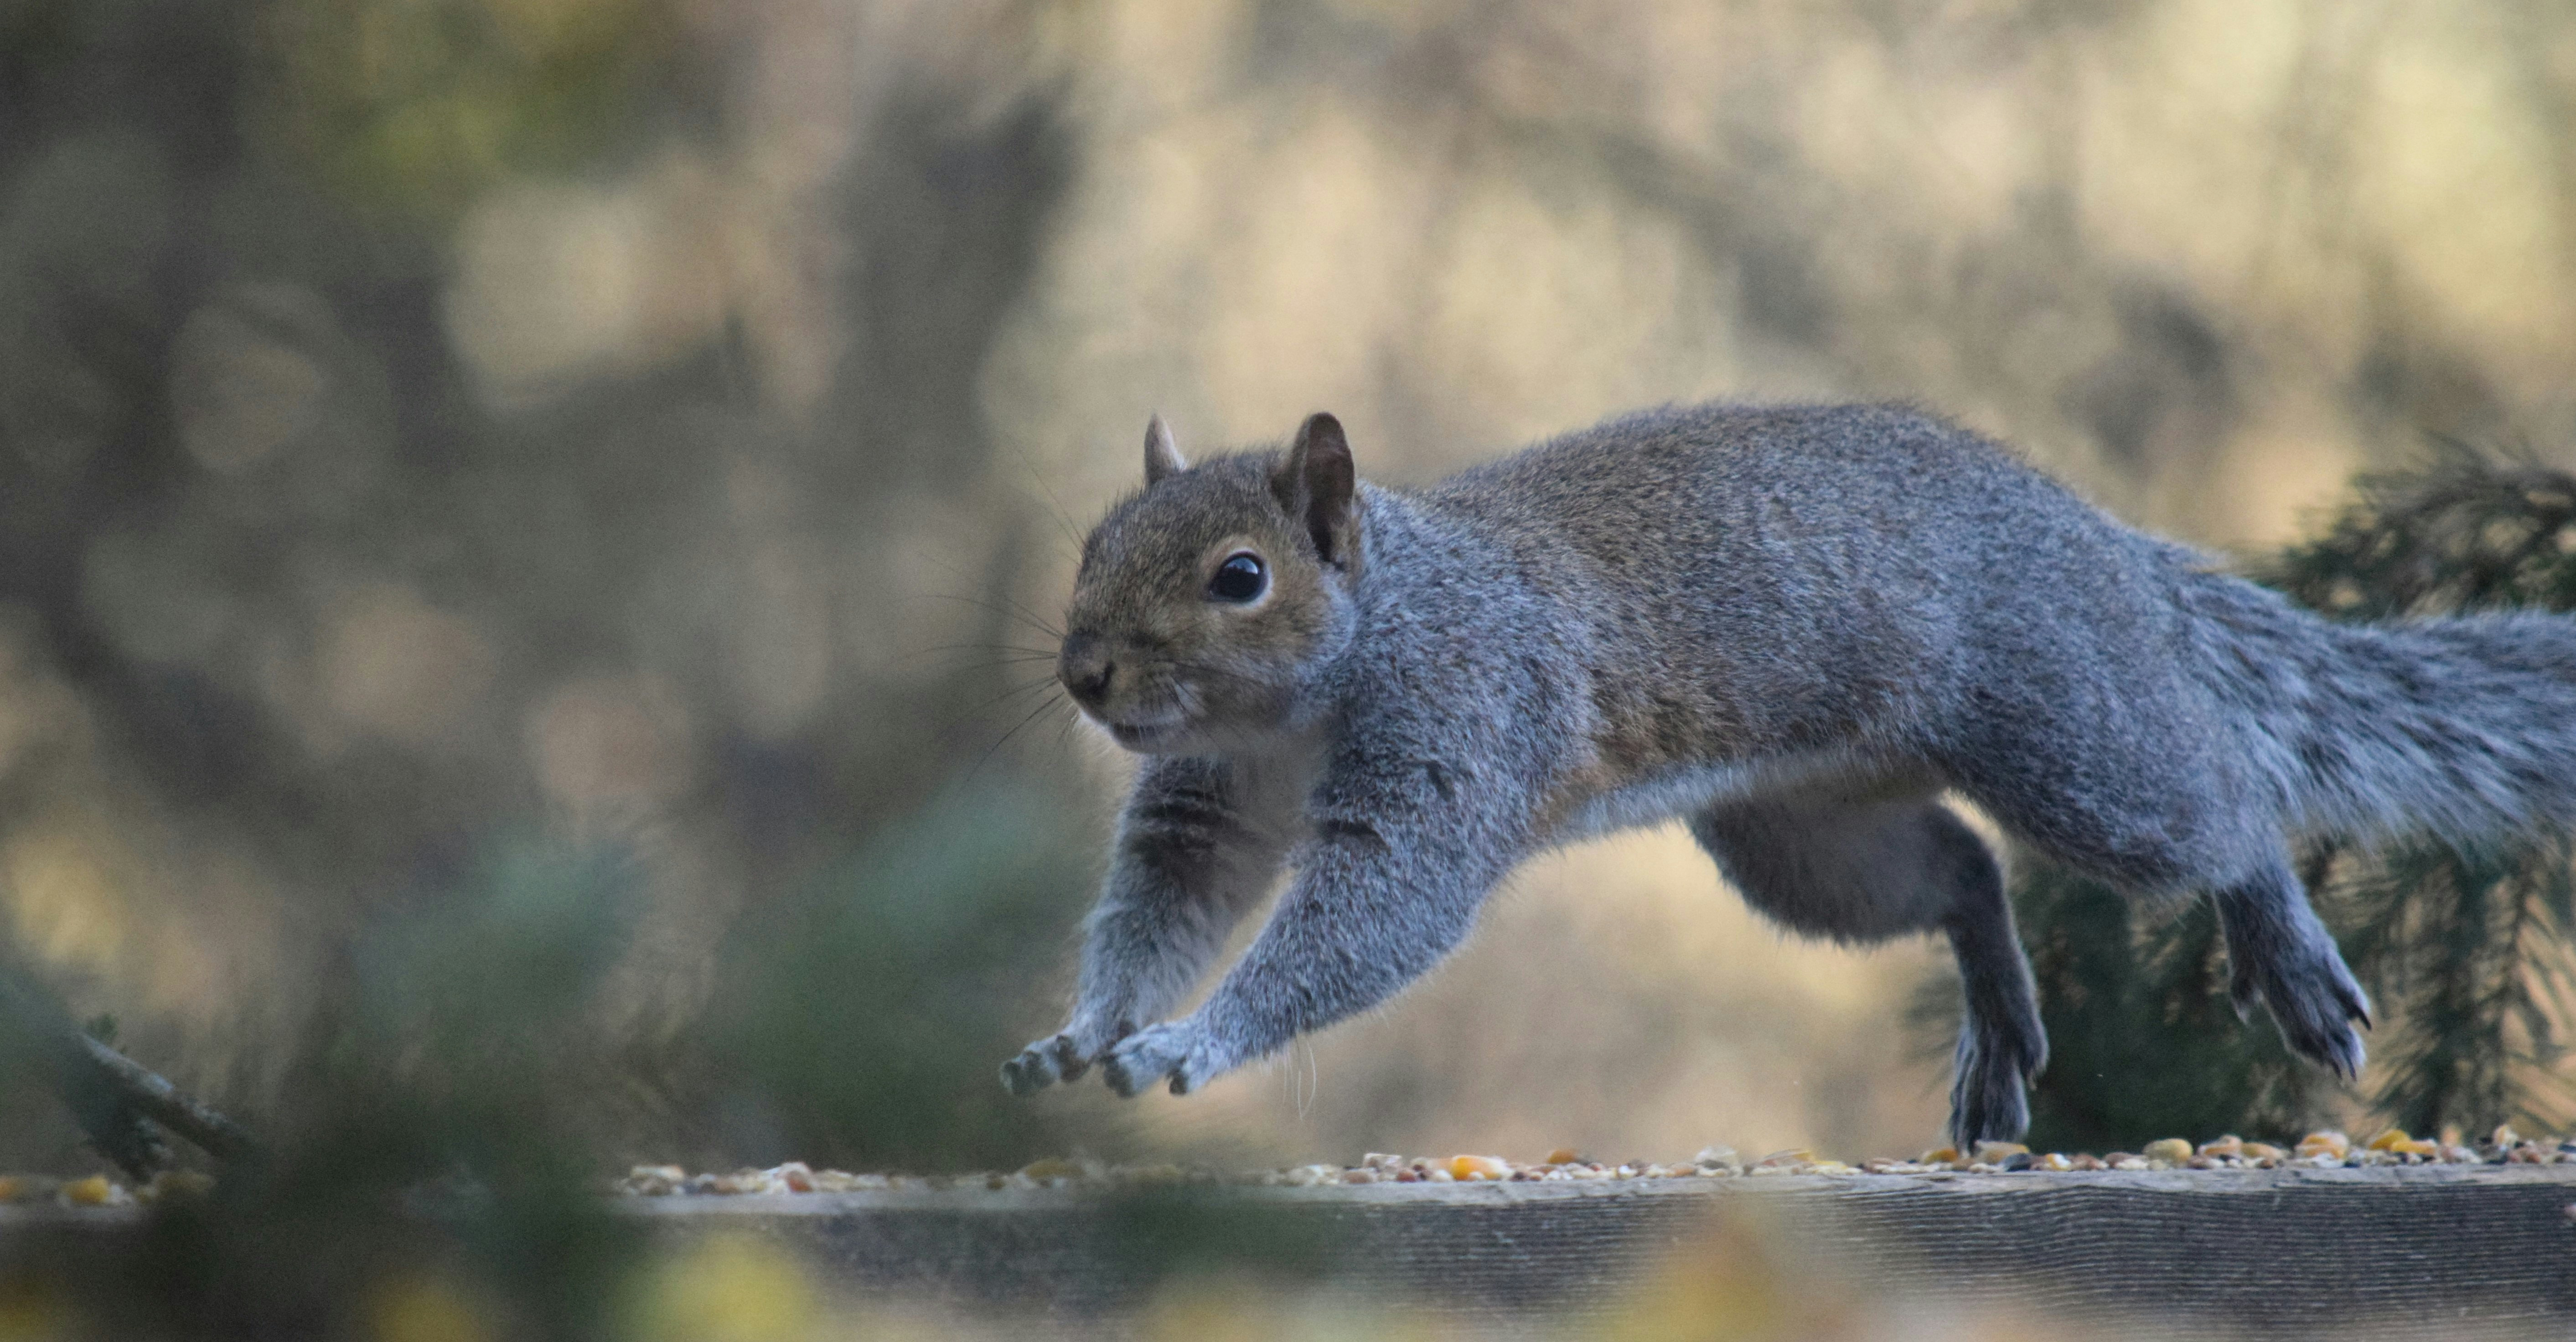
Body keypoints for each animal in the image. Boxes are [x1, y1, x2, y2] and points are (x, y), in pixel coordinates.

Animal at [1000, 402, 2576, 1146]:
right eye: (1094, 544)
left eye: (1240, 577)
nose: (1081, 676)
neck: (1301, 702)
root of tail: (2099, 542)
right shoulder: (1207, 803)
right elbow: (1166, 905)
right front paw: (1080, 1034)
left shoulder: (1456, 728)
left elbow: (1366, 921)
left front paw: (1190, 1046)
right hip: (1802, 838)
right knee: (1957, 868)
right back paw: (1995, 1026)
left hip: (2071, 735)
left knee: (2216, 816)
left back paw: (2283, 950)